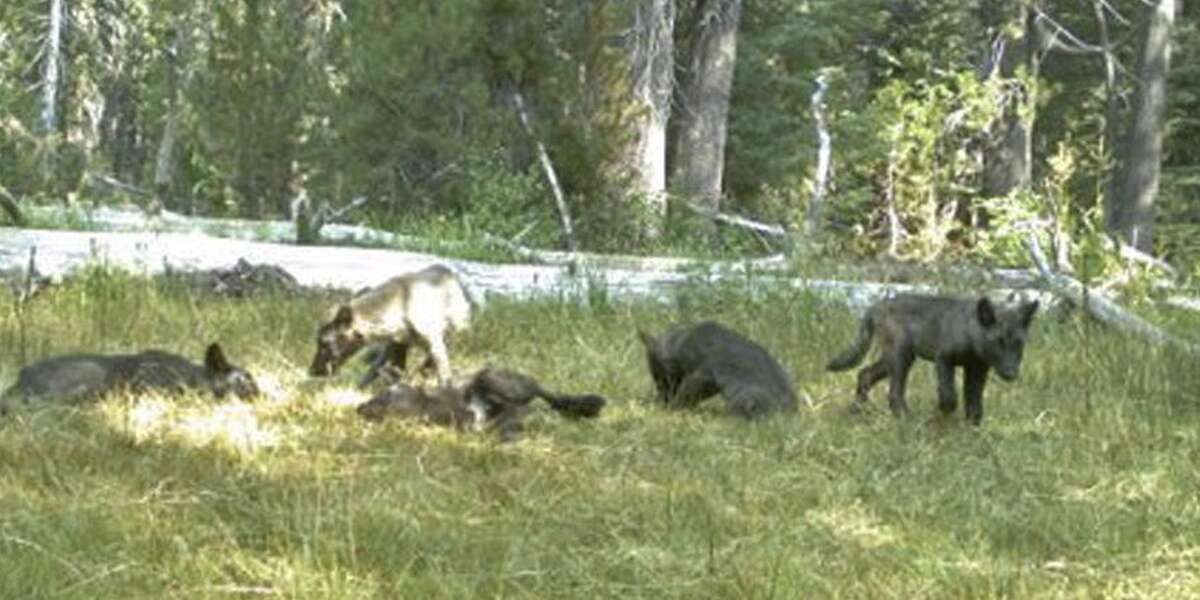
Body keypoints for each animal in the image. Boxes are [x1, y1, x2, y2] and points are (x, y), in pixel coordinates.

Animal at [308, 264, 473, 387]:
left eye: (324, 343)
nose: (312, 371)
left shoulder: (434, 342)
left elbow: (443, 375)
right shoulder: (398, 344)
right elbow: (391, 372)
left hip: (451, 333)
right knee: (376, 368)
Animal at [826, 294, 1039, 424]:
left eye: (1018, 344)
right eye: (998, 342)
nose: (1011, 374)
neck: (970, 333)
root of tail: (877, 305)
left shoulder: (977, 370)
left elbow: (974, 404)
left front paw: (972, 430)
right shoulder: (943, 358)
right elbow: (949, 396)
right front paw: (942, 416)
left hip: (893, 360)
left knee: (864, 374)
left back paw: (855, 411)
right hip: (900, 357)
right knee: (894, 392)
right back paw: (907, 420)